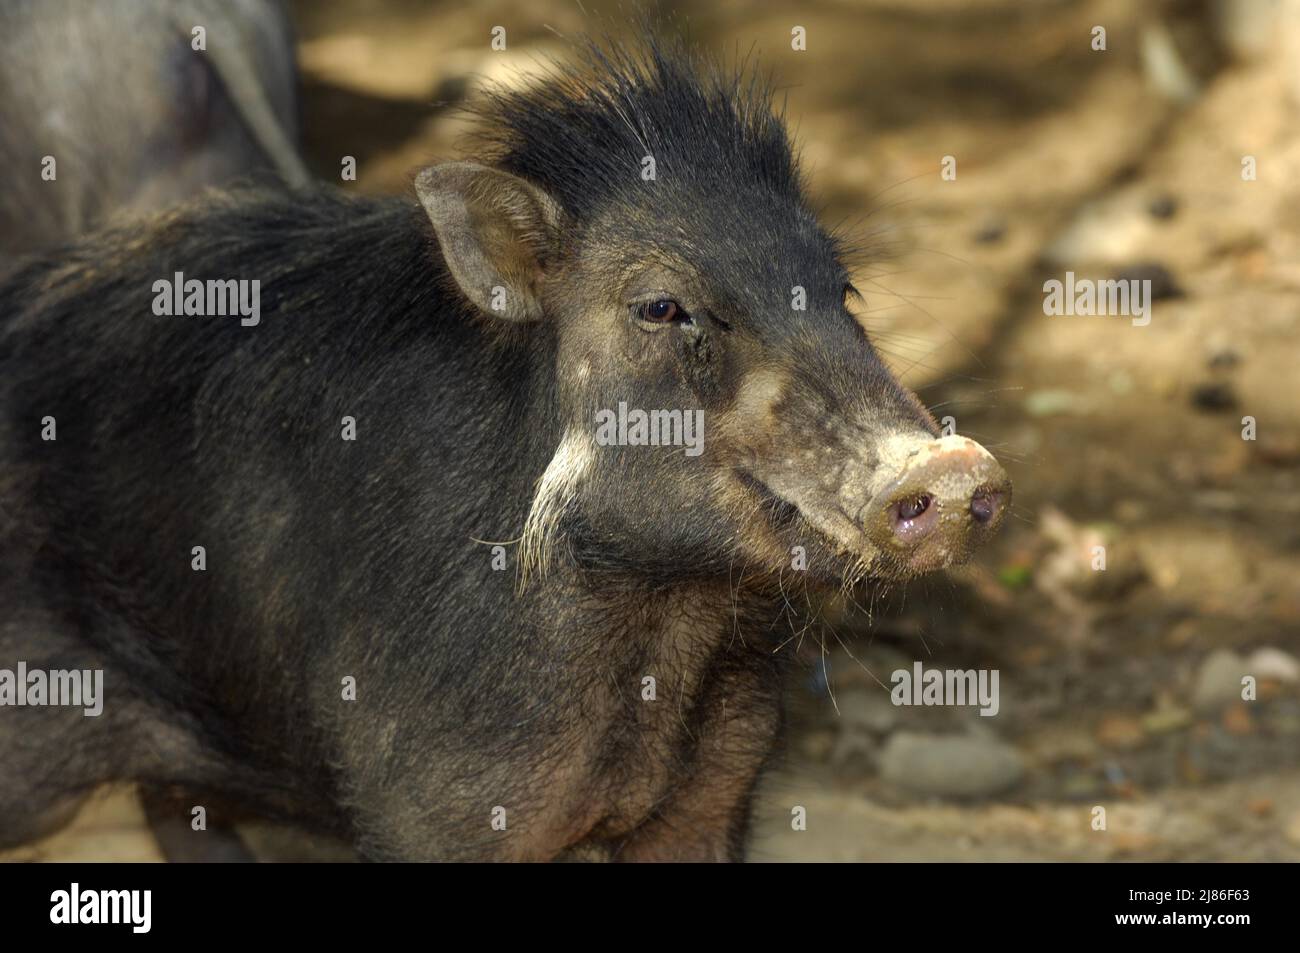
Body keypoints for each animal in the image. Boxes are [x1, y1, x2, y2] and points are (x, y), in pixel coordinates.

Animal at [0, 36, 1009, 861]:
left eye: (842, 294)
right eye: (660, 306)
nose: (954, 465)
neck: (659, 616)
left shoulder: (718, 785)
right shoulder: (432, 806)